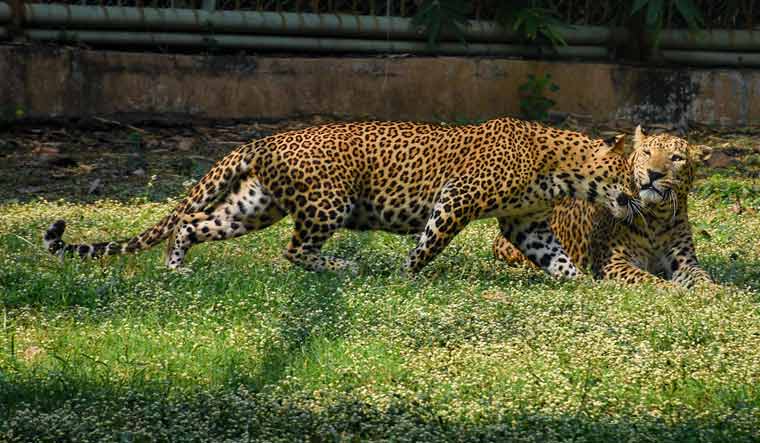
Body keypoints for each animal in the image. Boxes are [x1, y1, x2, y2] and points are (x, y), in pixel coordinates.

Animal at [43, 117, 640, 278]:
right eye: (635, 175)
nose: (645, 193)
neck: (562, 170)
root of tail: (267, 139)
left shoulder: (526, 224)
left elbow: (558, 259)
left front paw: (583, 288)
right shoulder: (458, 200)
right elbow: (427, 244)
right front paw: (405, 278)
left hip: (254, 206)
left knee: (194, 225)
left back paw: (177, 271)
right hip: (327, 203)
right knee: (295, 252)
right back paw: (342, 267)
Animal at [492, 125, 713, 288]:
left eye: (677, 158)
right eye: (647, 153)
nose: (654, 173)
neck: (656, 217)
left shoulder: (684, 262)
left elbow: (702, 276)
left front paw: (714, 291)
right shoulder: (613, 262)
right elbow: (647, 278)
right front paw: (670, 288)